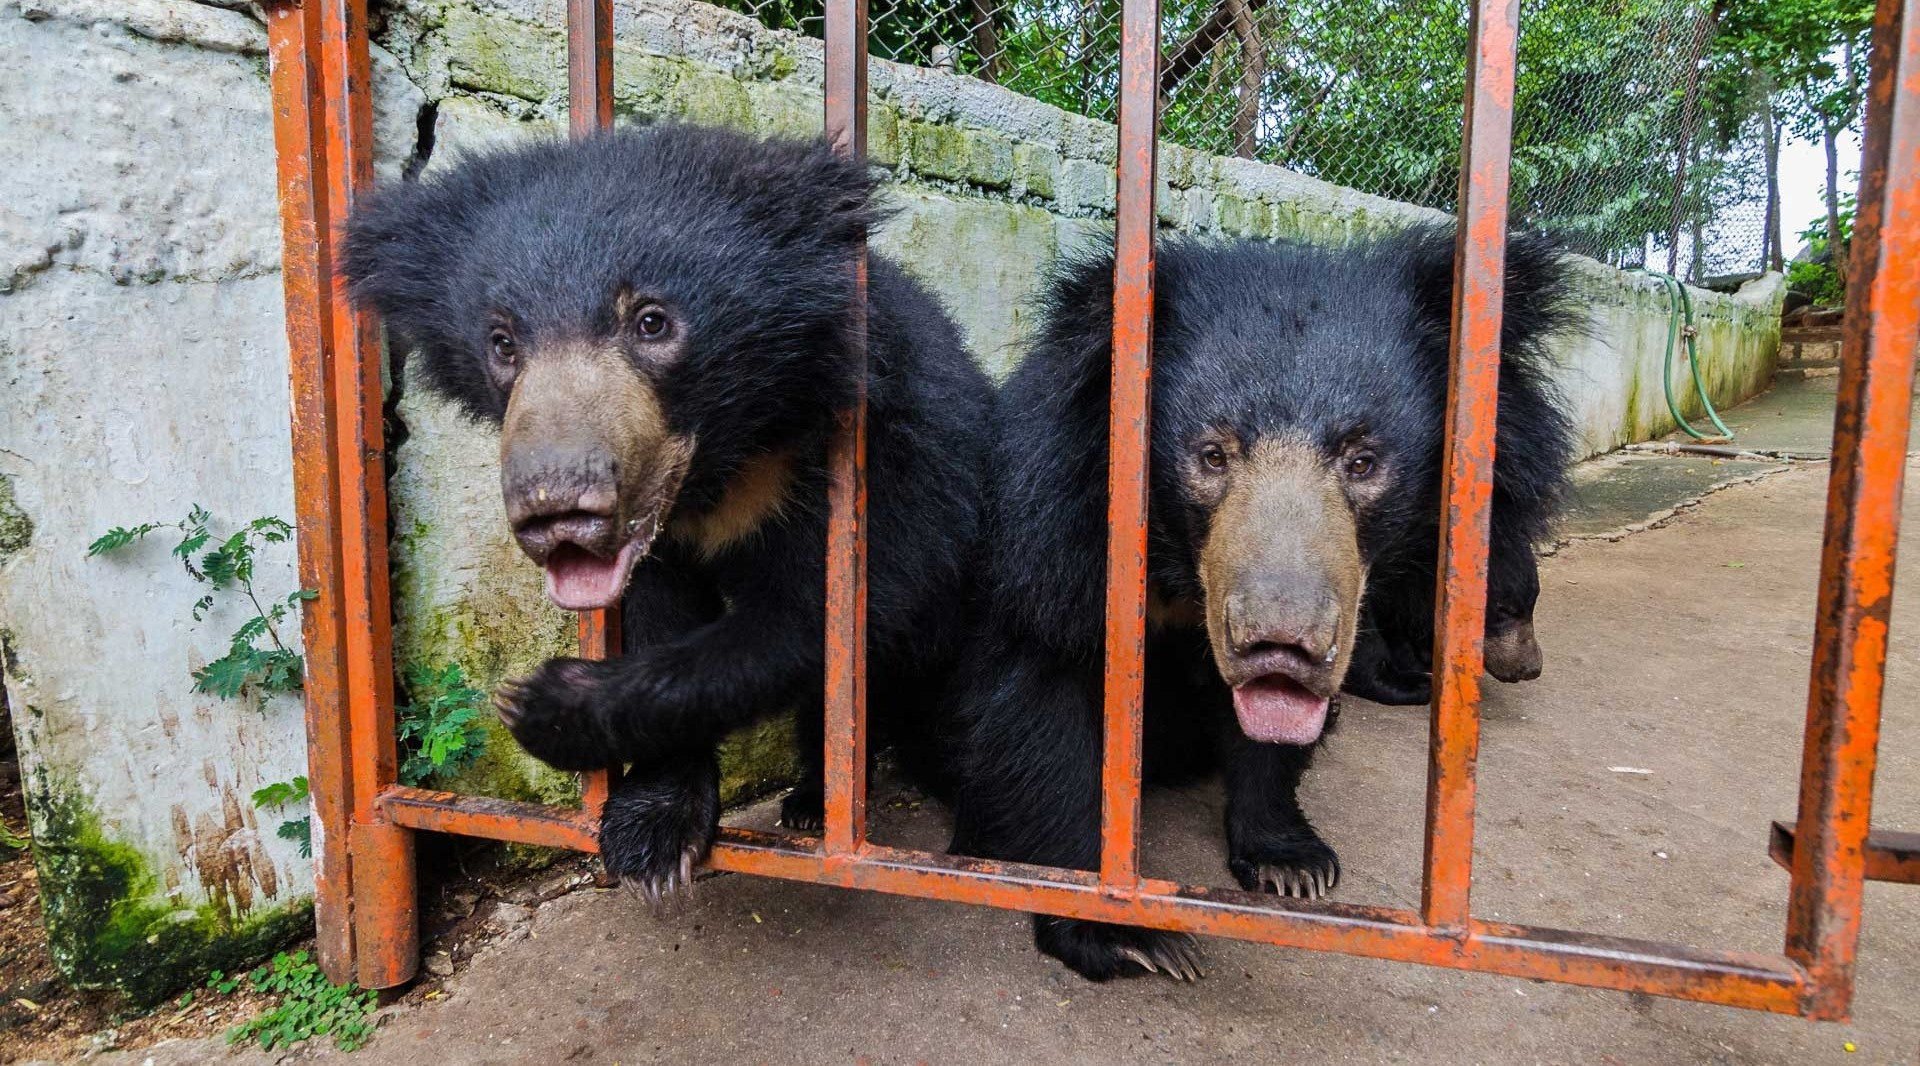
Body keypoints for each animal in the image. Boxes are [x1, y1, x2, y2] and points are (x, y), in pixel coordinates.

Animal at [341, 124, 993, 897]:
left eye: (652, 322)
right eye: (501, 342)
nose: (558, 509)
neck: (725, 458)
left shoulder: (881, 463)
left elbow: (817, 617)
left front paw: (548, 706)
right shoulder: (658, 532)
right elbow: (657, 612)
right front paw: (652, 828)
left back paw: (820, 801)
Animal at [947, 225, 1578, 981]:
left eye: (1363, 461)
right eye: (1212, 455)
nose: (1281, 643)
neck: (1178, 572)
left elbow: (1270, 737)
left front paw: (1292, 865)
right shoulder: (1056, 544)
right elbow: (1045, 714)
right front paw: (1125, 934)